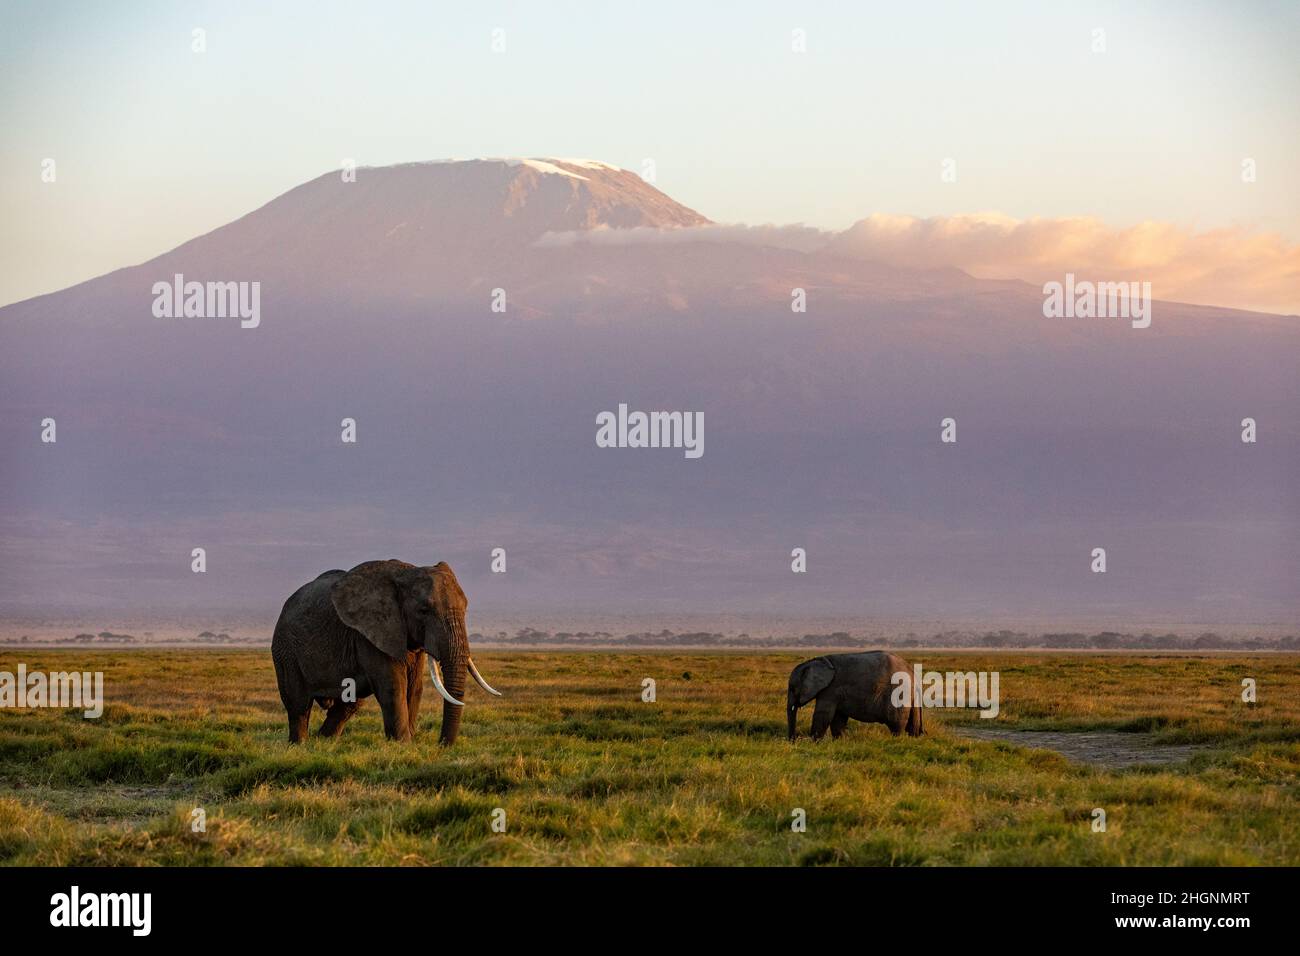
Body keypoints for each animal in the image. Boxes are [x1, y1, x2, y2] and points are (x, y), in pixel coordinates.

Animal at [271, 559, 499, 745]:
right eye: (424, 610)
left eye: (466, 608)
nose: (442, 745)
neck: (406, 573)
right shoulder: (369, 632)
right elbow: (393, 686)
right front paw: (403, 744)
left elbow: (414, 687)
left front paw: (410, 742)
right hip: (285, 649)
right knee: (298, 703)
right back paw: (300, 745)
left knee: (351, 702)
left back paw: (323, 742)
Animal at [786, 651, 922, 741]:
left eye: (792, 689)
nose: (794, 740)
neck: (817, 661)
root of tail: (911, 671)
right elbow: (838, 718)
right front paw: (839, 741)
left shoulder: (830, 689)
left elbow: (823, 715)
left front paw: (814, 742)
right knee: (912, 724)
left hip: (899, 693)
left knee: (896, 724)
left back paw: (896, 740)